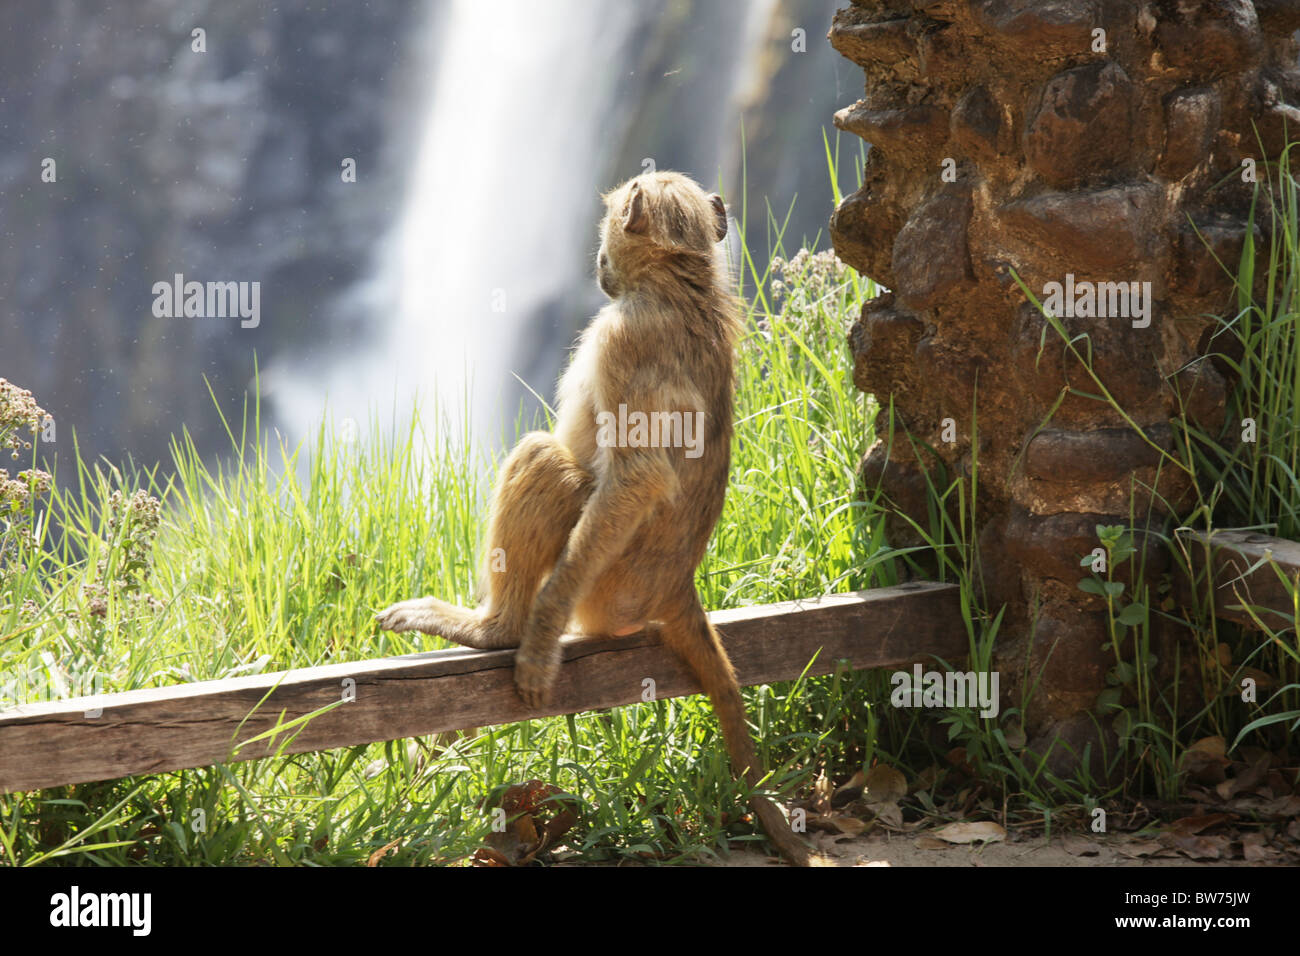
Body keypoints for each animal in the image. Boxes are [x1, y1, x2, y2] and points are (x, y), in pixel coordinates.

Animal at [377, 170, 825, 867]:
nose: (596, 263)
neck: (679, 287)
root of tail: (676, 586)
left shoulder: (621, 338)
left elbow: (638, 477)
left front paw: (537, 639)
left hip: (608, 595)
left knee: (547, 462)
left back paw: (497, 628)